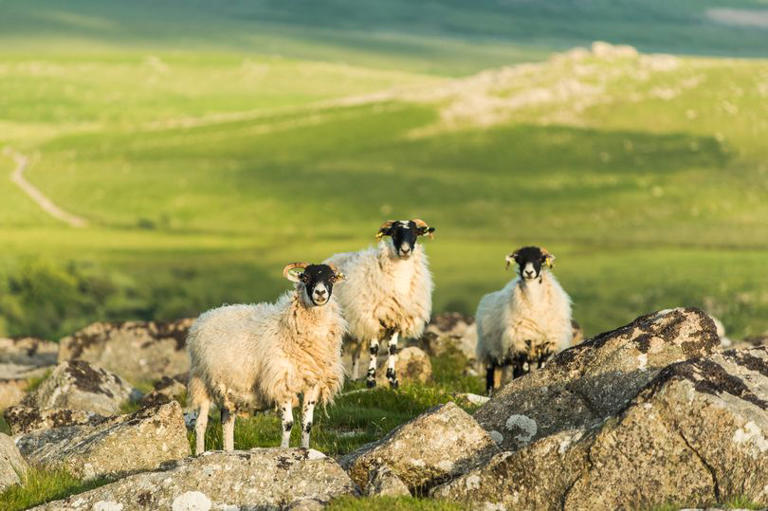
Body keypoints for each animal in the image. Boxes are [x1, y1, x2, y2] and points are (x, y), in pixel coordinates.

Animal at [187, 262, 346, 454]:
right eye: (306, 277)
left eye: (332, 278)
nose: (320, 293)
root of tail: (205, 316)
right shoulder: (281, 383)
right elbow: (288, 424)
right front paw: (284, 452)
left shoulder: (312, 384)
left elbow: (307, 424)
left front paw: (304, 450)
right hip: (201, 382)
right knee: (201, 424)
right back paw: (200, 453)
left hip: (228, 387)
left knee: (227, 421)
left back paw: (228, 452)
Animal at [325, 219, 435, 388]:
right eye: (394, 233)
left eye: (415, 233)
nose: (405, 250)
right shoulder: (373, 319)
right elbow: (374, 349)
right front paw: (371, 380)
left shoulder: (396, 320)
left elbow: (393, 349)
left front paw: (393, 379)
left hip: (357, 327)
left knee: (356, 353)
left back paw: (354, 378)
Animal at [475, 246, 573, 395]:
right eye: (519, 260)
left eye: (540, 259)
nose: (529, 272)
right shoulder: (521, 341)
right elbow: (525, 370)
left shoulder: (548, 343)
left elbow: (541, 367)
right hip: (489, 351)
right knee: (491, 376)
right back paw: (490, 394)